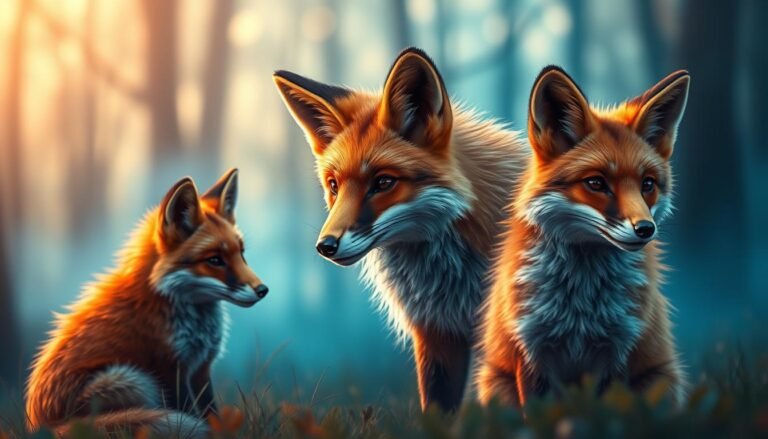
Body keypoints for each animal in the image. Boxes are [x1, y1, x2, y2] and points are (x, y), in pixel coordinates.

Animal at [25, 169, 269, 437]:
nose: (263, 290)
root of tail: (42, 426)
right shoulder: (169, 368)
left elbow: (211, 411)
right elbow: (190, 413)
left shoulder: (201, 368)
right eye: (215, 260)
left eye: (241, 254)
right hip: (130, 380)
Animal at [475, 66, 690, 407]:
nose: (645, 229)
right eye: (596, 183)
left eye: (647, 184)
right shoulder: (531, 350)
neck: (579, 308)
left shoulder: (618, 350)